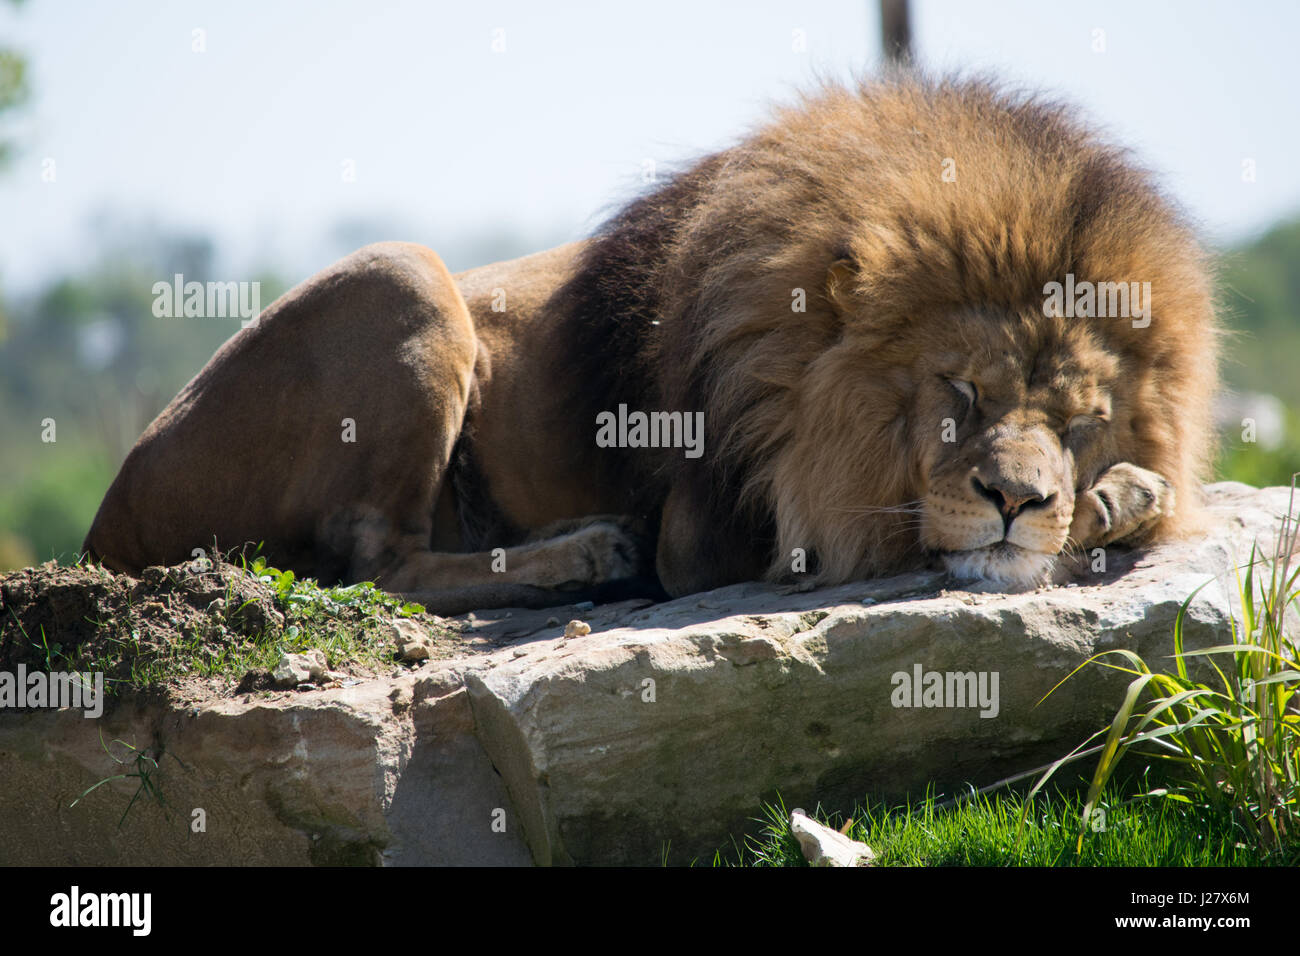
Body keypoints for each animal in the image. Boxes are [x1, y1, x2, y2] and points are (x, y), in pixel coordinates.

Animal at [83, 75, 1218, 614]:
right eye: (959, 393)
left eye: (1080, 421)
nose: (1016, 499)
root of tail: (106, 518)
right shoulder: (711, 531)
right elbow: (887, 526)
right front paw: (1082, 513)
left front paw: (1117, 495)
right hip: (403, 273)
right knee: (376, 562)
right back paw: (589, 554)